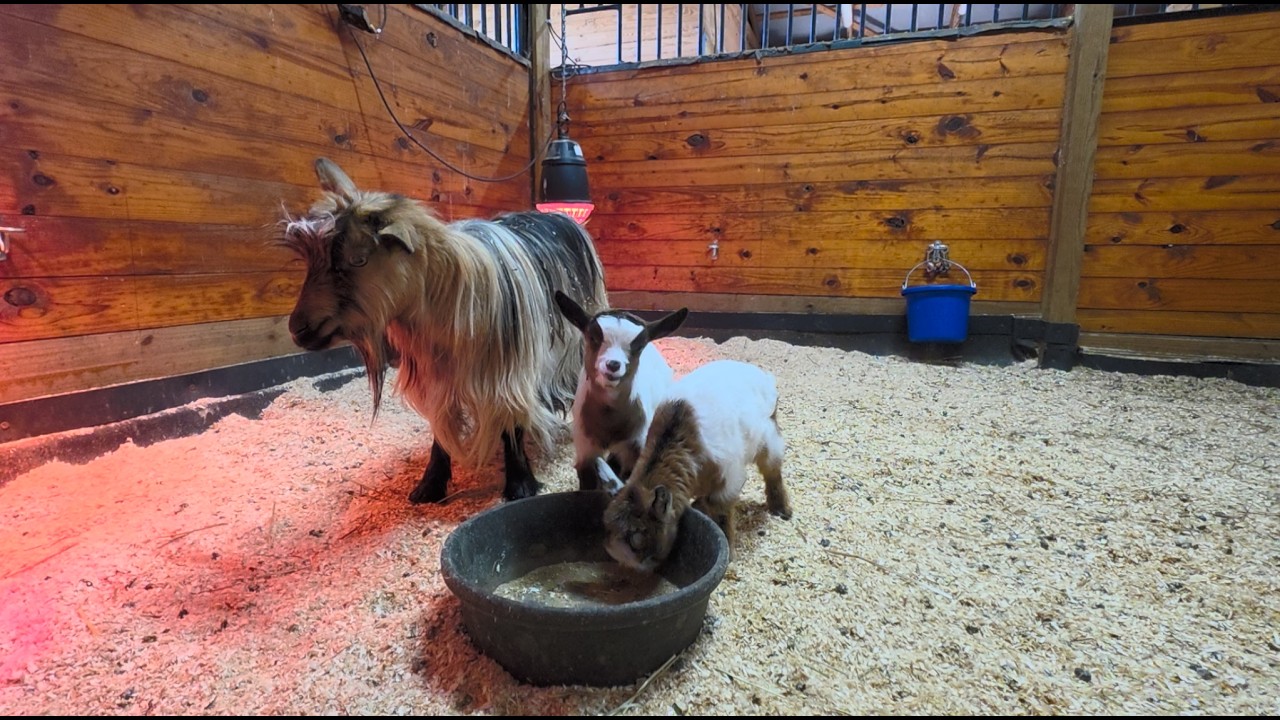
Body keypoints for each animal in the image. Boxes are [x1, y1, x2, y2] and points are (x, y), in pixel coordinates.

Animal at [278, 158, 608, 504]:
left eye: (358, 259)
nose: (298, 329)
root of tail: (560, 216)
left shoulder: (509, 374)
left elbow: (511, 424)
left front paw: (520, 484)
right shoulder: (434, 378)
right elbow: (440, 430)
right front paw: (429, 485)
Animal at [552, 291, 688, 493]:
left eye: (639, 345)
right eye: (593, 337)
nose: (613, 365)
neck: (609, 420)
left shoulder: (635, 445)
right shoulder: (585, 446)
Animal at [602, 360, 793, 572]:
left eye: (638, 538)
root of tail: (763, 377)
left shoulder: (728, 478)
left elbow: (720, 511)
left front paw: (729, 553)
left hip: (769, 436)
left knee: (772, 470)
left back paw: (781, 509)